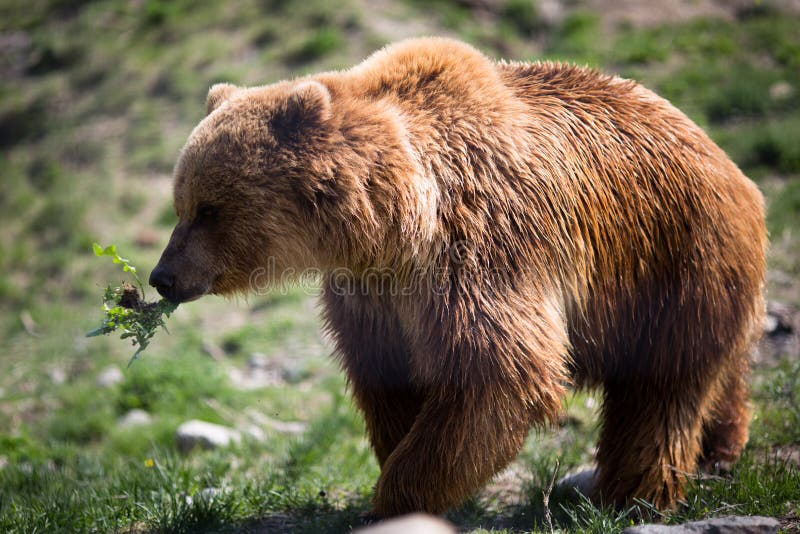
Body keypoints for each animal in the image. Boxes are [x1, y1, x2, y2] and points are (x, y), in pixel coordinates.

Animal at [149, 37, 767, 517]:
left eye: (208, 208)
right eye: (180, 204)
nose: (162, 276)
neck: (392, 222)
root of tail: (738, 172)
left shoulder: (480, 249)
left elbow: (497, 375)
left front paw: (395, 497)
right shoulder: (374, 293)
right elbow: (390, 379)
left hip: (677, 261)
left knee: (662, 391)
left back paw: (632, 494)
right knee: (716, 373)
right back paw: (721, 443)